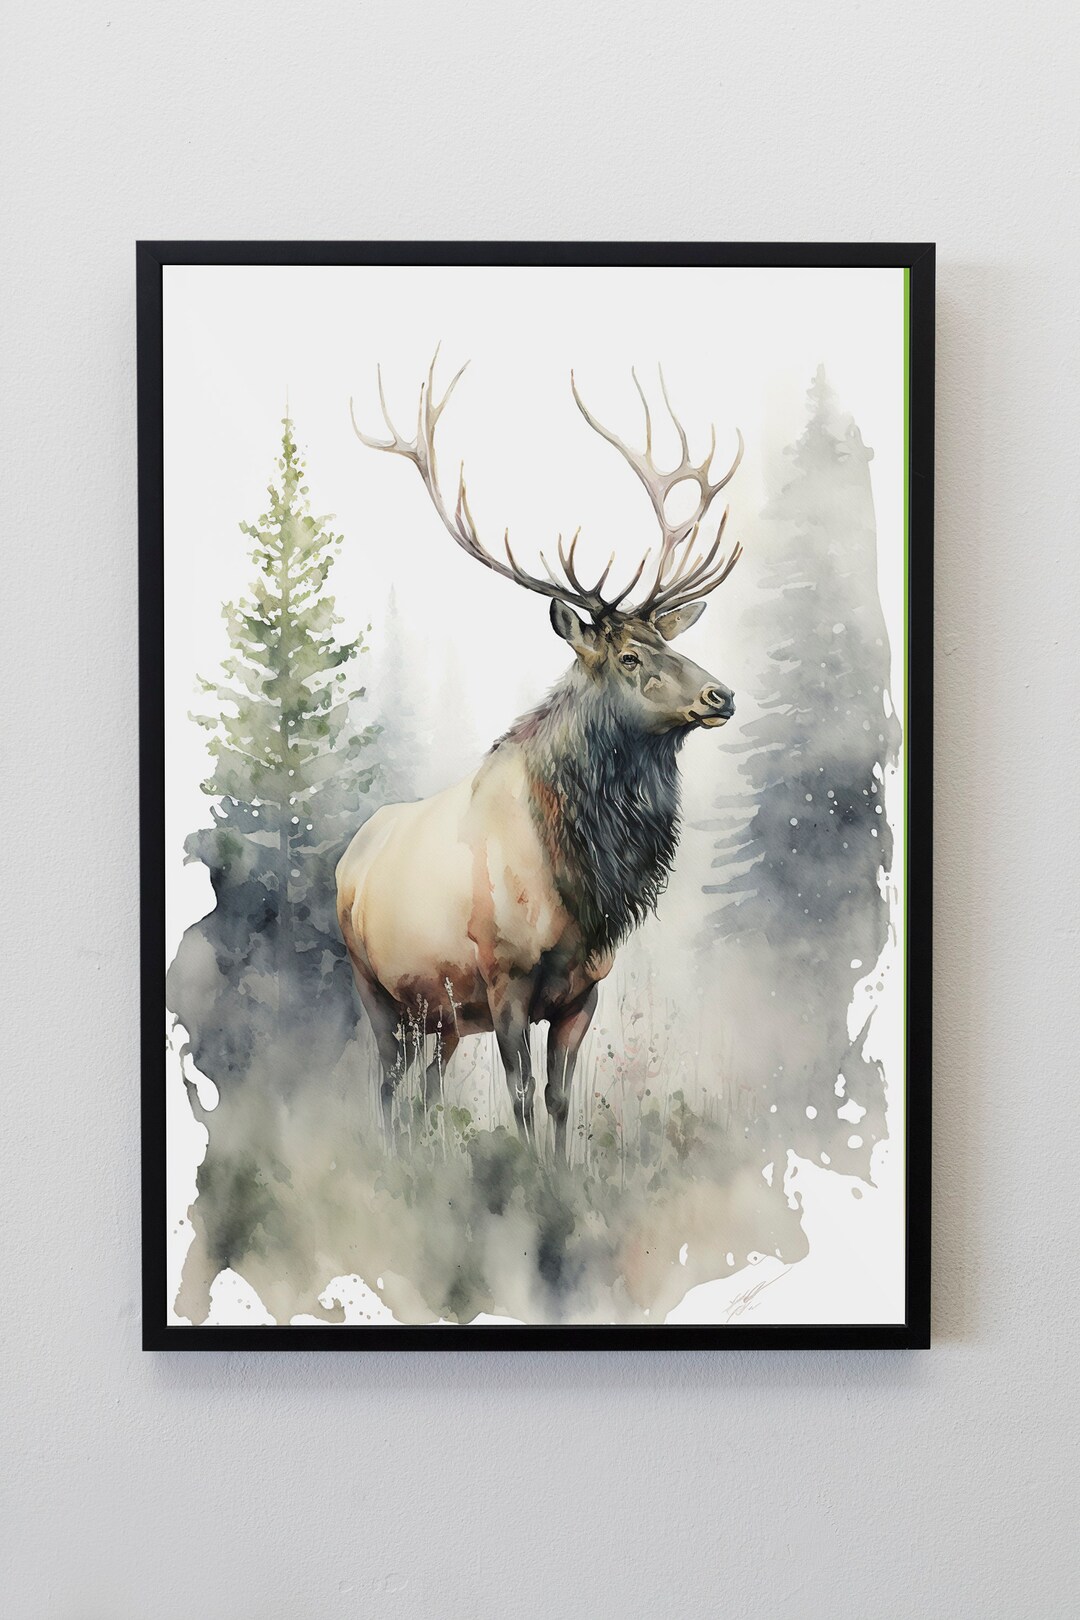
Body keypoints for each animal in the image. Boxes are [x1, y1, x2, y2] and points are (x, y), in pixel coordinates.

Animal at [337, 354, 743, 1161]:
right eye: (628, 656)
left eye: (668, 641)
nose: (721, 695)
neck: (581, 881)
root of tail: (350, 856)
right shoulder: (505, 981)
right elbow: (522, 1098)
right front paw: (526, 1180)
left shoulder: (584, 990)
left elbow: (559, 1100)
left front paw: (561, 1177)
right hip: (377, 991)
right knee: (387, 1090)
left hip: (441, 1016)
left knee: (427, 1092)